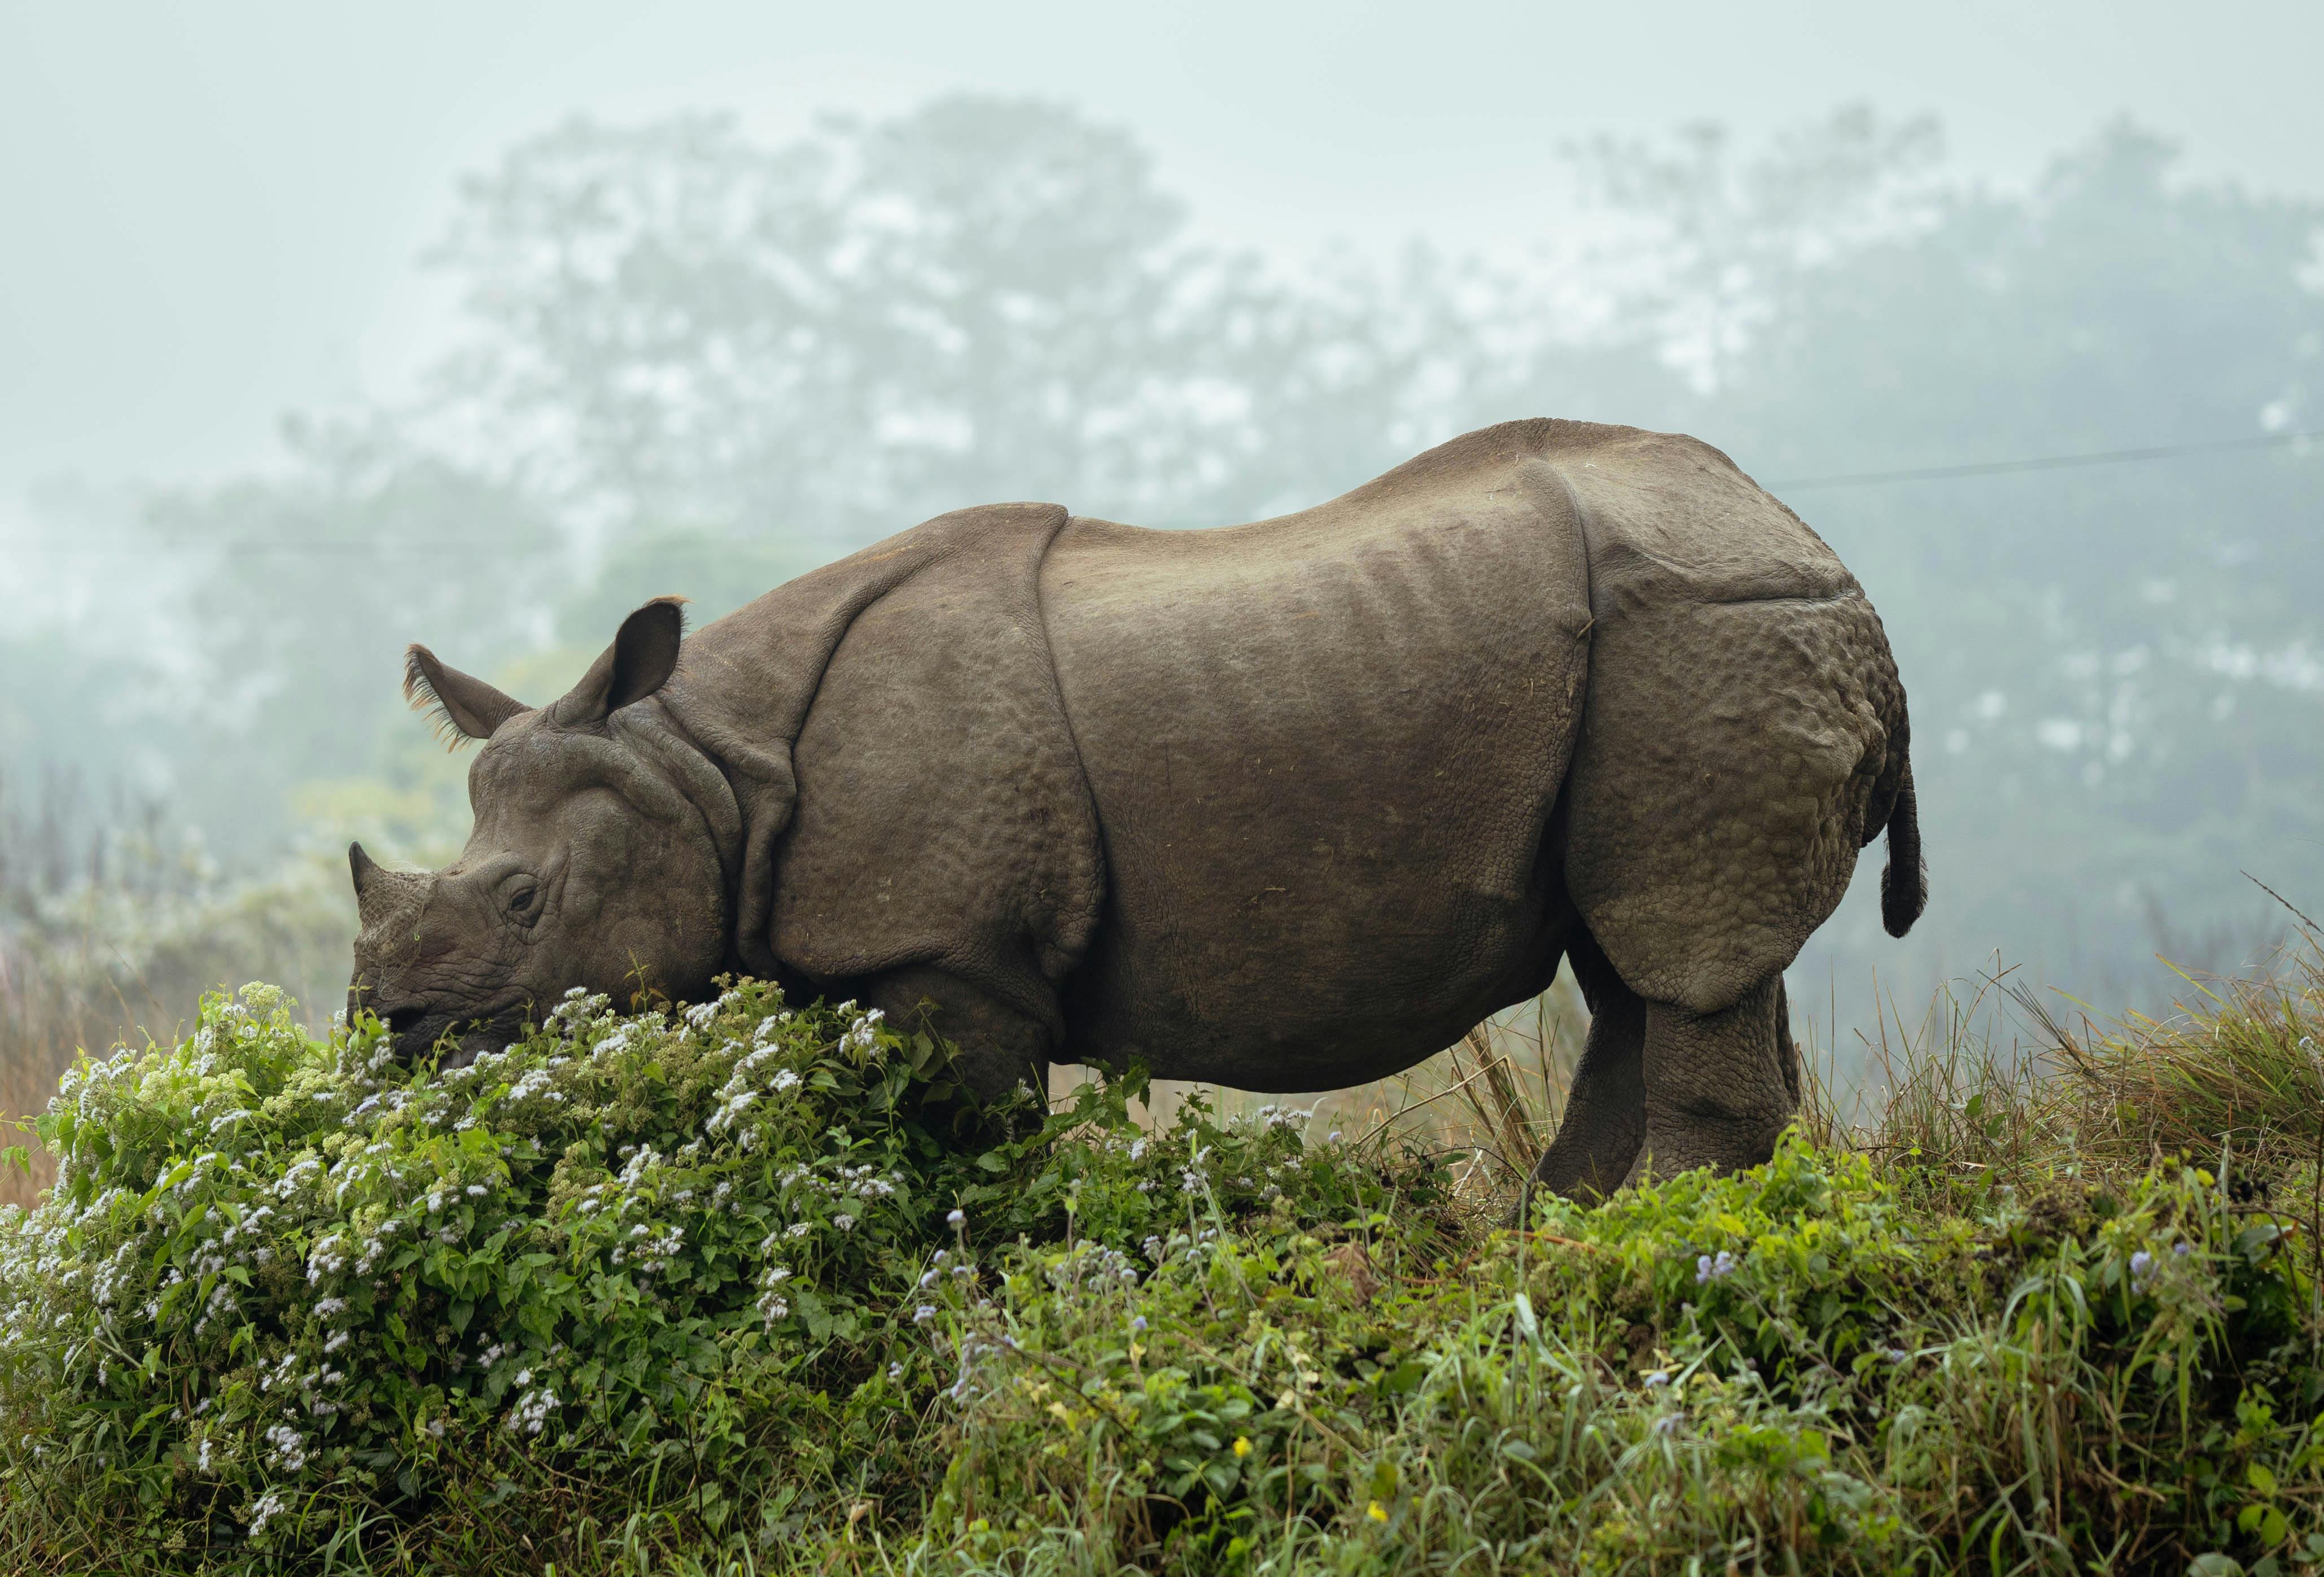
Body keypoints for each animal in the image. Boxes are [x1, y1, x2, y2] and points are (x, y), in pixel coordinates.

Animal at [348, 419, 1924, 1194]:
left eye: (523, 902)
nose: (391, 1032)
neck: (705, 764)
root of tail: (1831, 559)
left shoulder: (949, 950)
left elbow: (965, 1159)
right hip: (1683, 657)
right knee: (1640, 962)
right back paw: (1568, 1235)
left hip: (1711, 635)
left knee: (1679, 953)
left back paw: (1654, 1248)